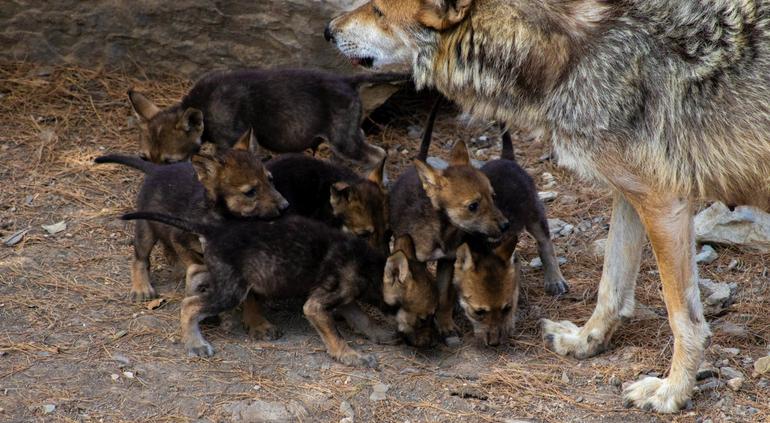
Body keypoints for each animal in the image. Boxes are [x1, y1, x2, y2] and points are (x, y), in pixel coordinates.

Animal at [326, 0, 770, 412]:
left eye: (378, 10)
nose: (329, 30)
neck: (574, 53)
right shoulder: (632, 195)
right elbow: (610, 286)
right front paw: (586, 342)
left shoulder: (666, 203)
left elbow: (684, 319)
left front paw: (671, 393)